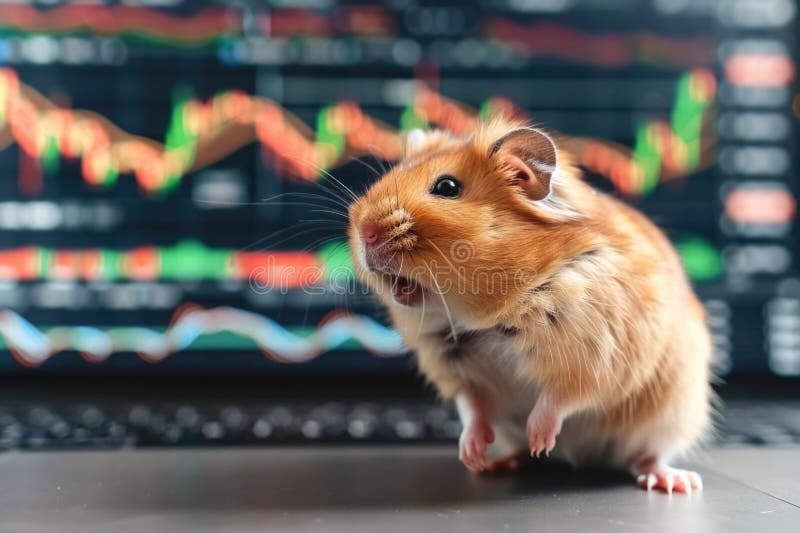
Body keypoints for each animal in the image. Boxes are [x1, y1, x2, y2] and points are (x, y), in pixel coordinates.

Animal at [347, 117, 713, 494]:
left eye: (447, 187)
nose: (365, 233)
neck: (488, 317)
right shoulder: (452, 366)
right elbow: (472, 407)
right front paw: (472, 454)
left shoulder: (595, 357)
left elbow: (560, 397)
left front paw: (539, 438)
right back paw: (500, 463)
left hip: (671, 415)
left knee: (646, 456)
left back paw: (673, 481)